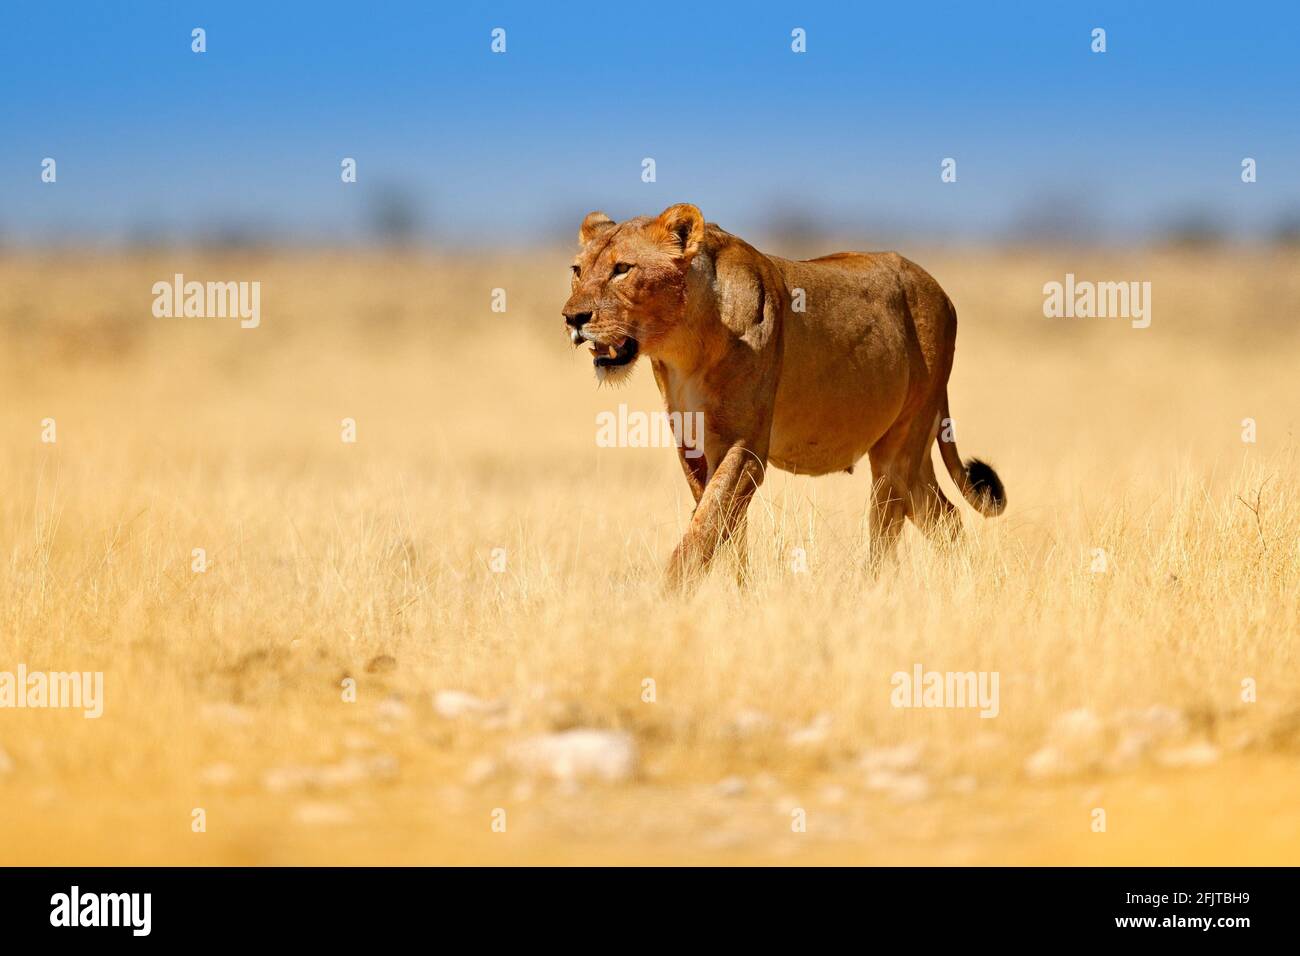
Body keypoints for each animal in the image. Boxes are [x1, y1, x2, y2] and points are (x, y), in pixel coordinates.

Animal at [562, 203, 1006, 588]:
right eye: (578, 271)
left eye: (622, 269)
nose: (572, 318)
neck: (684, 343)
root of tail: (941, 292)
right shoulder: (692, 444)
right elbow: (724, 527)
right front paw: (736, 595)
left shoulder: (745, 446)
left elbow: (708, 523)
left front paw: (669, 598)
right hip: (912, 458)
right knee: (945, 517)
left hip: (899, 447)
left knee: (888, 532)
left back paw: (876, 591)